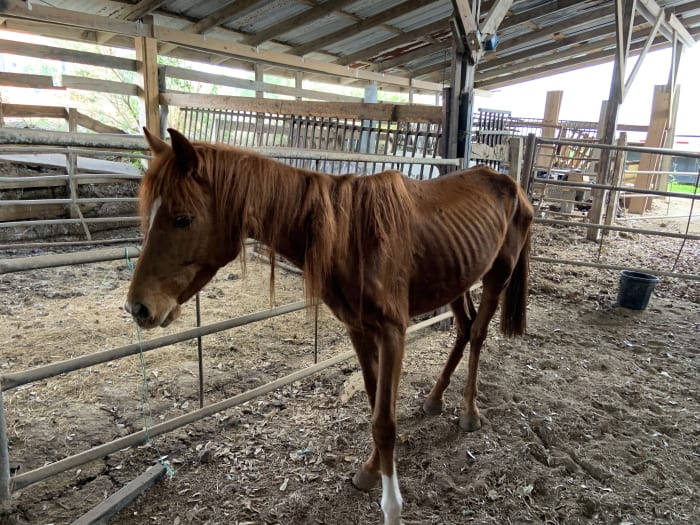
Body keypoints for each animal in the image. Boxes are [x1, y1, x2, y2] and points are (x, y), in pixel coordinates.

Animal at [125, 127, 533, 525]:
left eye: (183, 218)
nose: (138, 307)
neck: (351, 236)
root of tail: (511, 185)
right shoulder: (359, 329)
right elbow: (373, 403)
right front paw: (370, 471)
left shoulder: (392, 332)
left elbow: (385, 422)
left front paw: (391, 506)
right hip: (457, 279)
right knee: (463, 329)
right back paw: (434, 400)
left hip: (497, 275)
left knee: (477, 334)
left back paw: (469, 413)